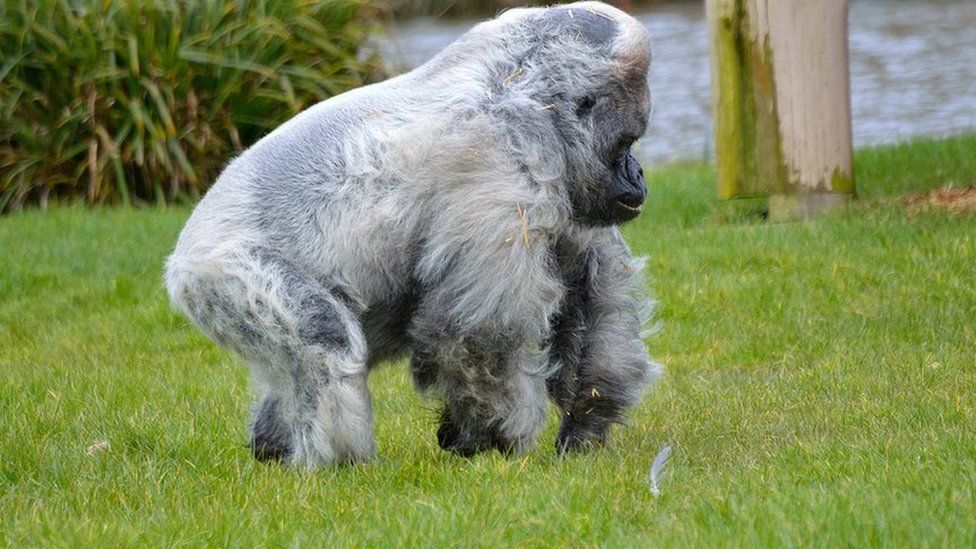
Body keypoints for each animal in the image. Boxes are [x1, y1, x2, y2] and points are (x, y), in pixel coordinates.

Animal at [165, 1, 660, 467]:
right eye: (626, 142)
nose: (639, 177)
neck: (522, 85)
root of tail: (177, 260)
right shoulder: (505, 152)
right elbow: (479, 335)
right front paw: (488, 437)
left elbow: (589, 293)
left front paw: (583, 427)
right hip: (217, 276)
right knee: (323, 336)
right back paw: (340, 462)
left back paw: (273, 442)